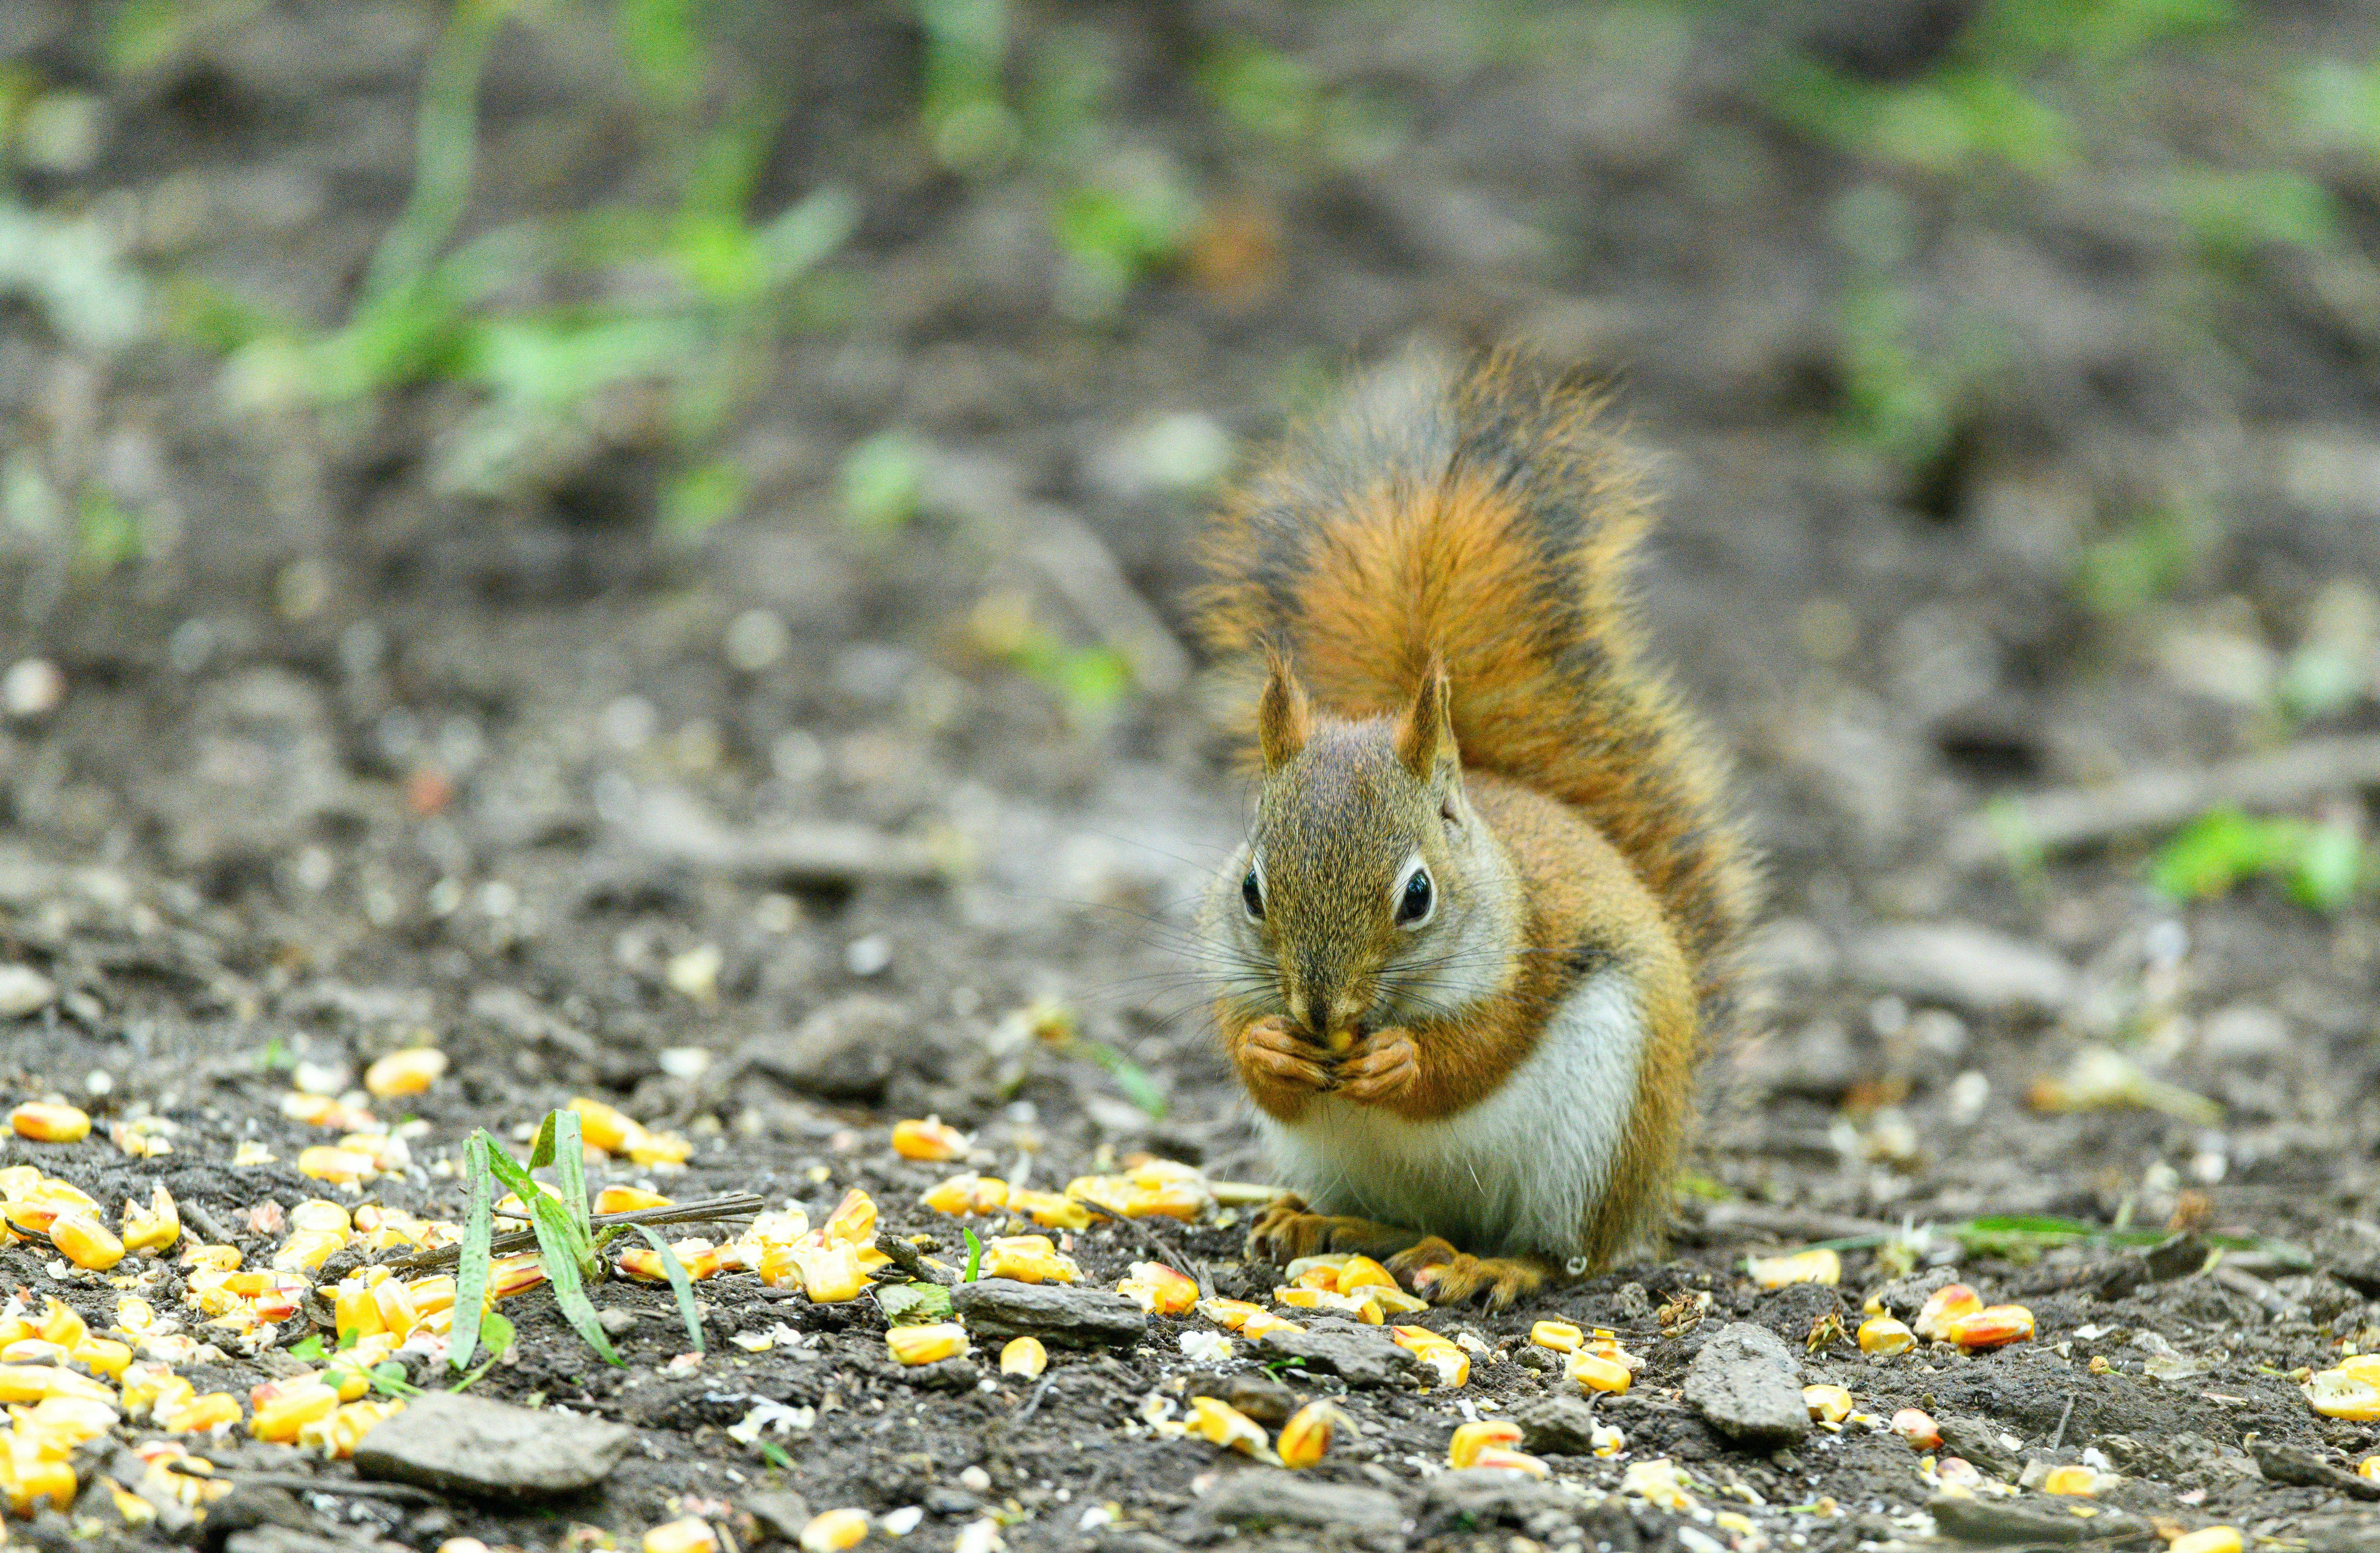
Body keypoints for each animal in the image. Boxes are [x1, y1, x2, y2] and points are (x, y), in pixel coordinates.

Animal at [1188, 352, 1759, 1309]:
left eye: (1418, 894)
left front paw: (1400, 1063)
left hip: (1599, 1127)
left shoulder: (1531, 950)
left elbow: (1477, 1055)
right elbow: (1243, 1046)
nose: (1320, 1010)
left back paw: (1492, 1262)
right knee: (1391, 1216)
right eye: (1251, 890)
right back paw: (1324, 1222)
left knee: (1564, 1250)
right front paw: (1270, 1046)